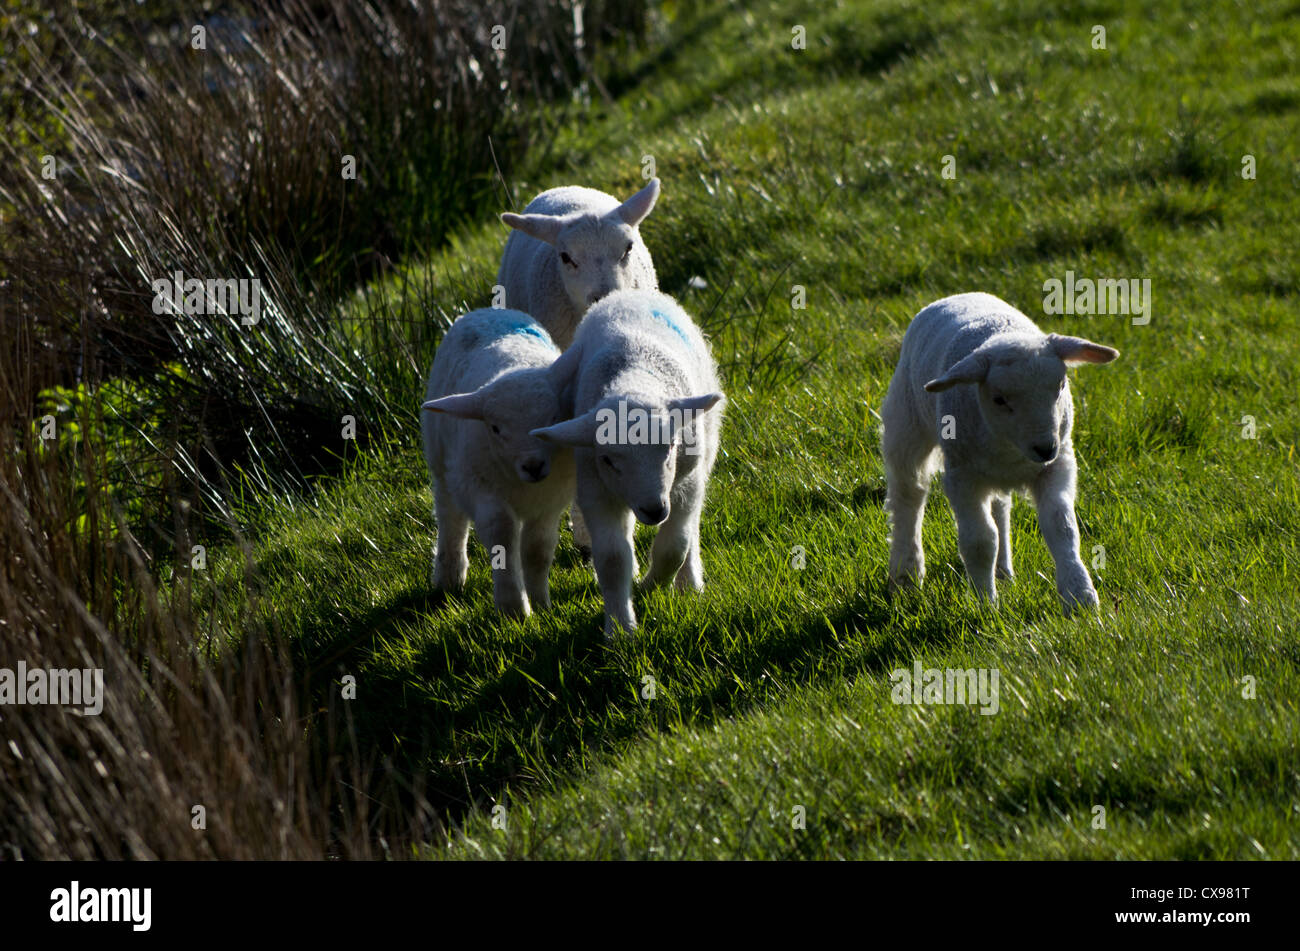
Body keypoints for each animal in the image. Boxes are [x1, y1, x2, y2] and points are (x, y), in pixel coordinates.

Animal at [420, 308, 576, 617]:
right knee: (450, 518)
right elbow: (501, 534)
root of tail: (485, 310)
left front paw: (541, 603)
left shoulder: (550, 501)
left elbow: (538, 548)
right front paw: (514, 607)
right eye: (495, 428)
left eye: (554, 417)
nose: (533, 465)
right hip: (442, 463)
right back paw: (450, 575)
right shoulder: (479, 487)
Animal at [530, 289, 725, 636]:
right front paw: (621, 629)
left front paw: (651, 586)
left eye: (670, 446)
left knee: (691, 529)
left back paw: (689, 584)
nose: (655, 510)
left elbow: (675, 546)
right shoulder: (596, 488)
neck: (634, 372)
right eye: (608, 459)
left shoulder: (685, 482)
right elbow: (612, 559)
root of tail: (625, 294)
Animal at [880, 291, 1118, 615]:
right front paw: (985, 605)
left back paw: (1004, 571)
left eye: (1060, 386)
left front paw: (1079, 596)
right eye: (999, 399)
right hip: (905, 425)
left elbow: (1062, 527)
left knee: (1000, 507)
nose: (1045, 447)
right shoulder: (962, 477)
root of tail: (959, 295)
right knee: (908, 496)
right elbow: (980, 540)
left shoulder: (1057, 467)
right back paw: (906, 574)